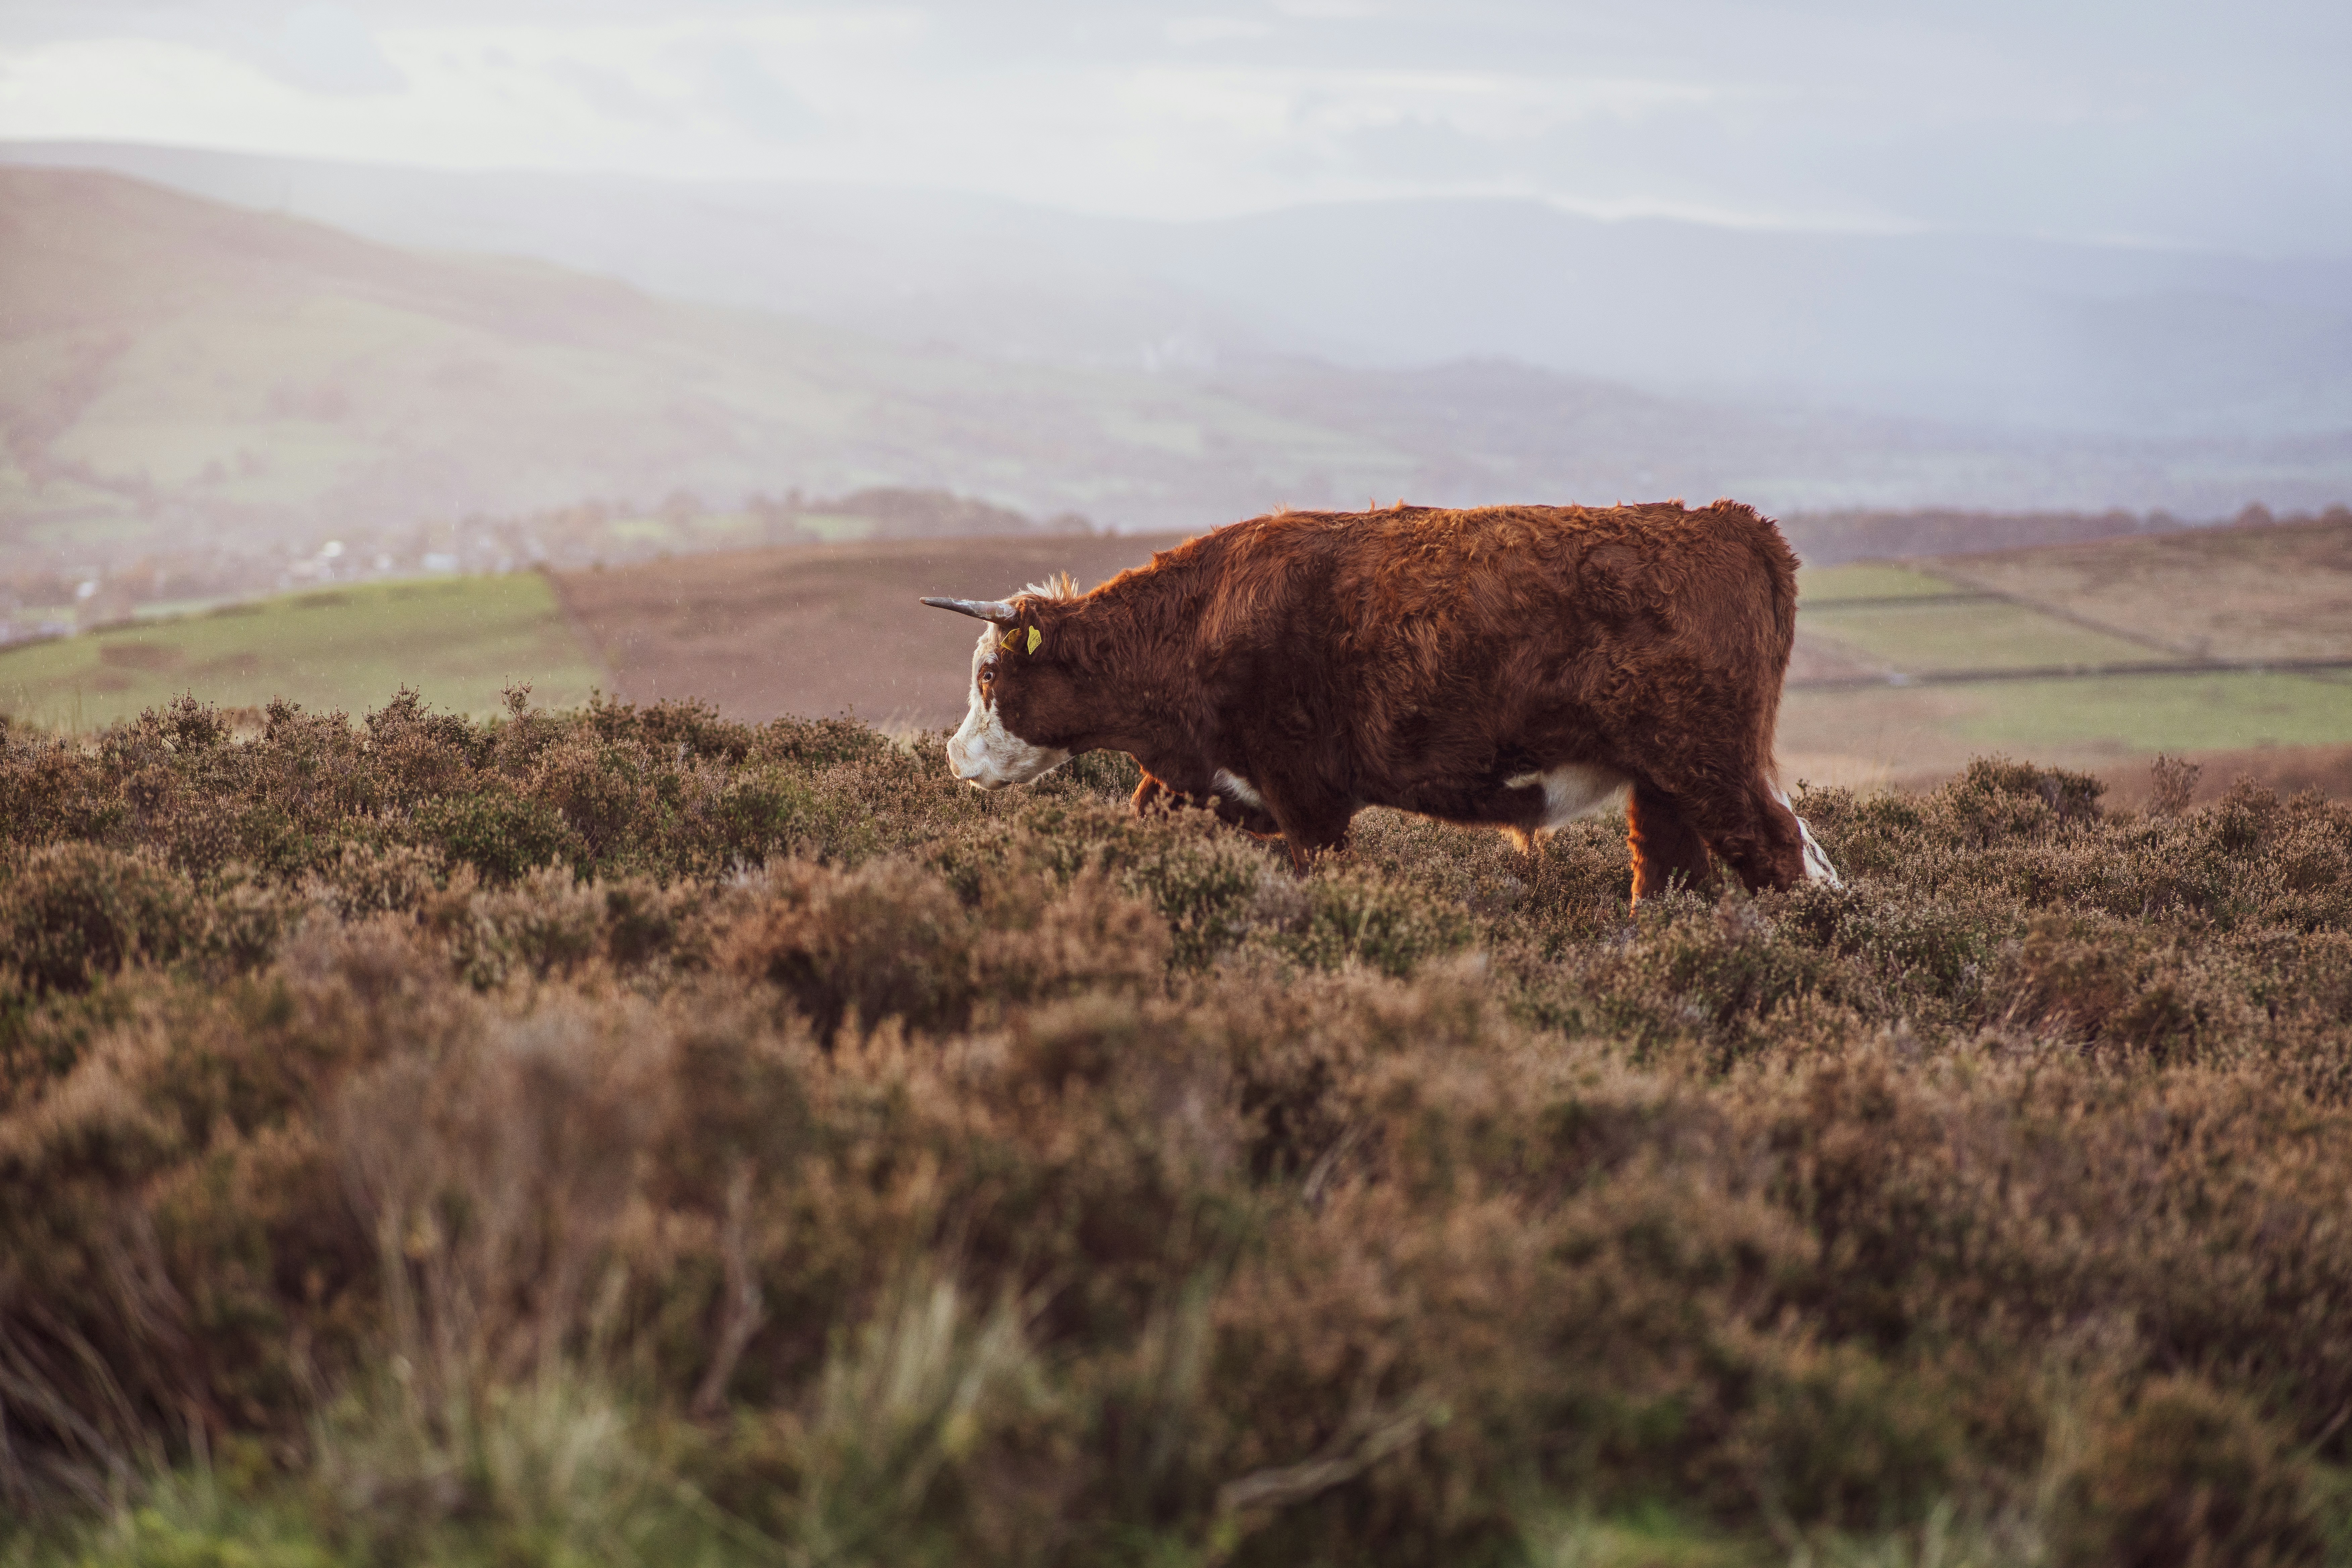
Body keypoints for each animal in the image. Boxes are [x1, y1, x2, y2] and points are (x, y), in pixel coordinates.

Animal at [920, 500, 1841, 901]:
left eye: (989, 675)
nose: (954, 755)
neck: (1202, 618)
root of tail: (1735, 523)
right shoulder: (1210, 784)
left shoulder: (1307, 796)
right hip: (1666, 788)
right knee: (1676, 881)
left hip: (1711, 769)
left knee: (1787, 862)